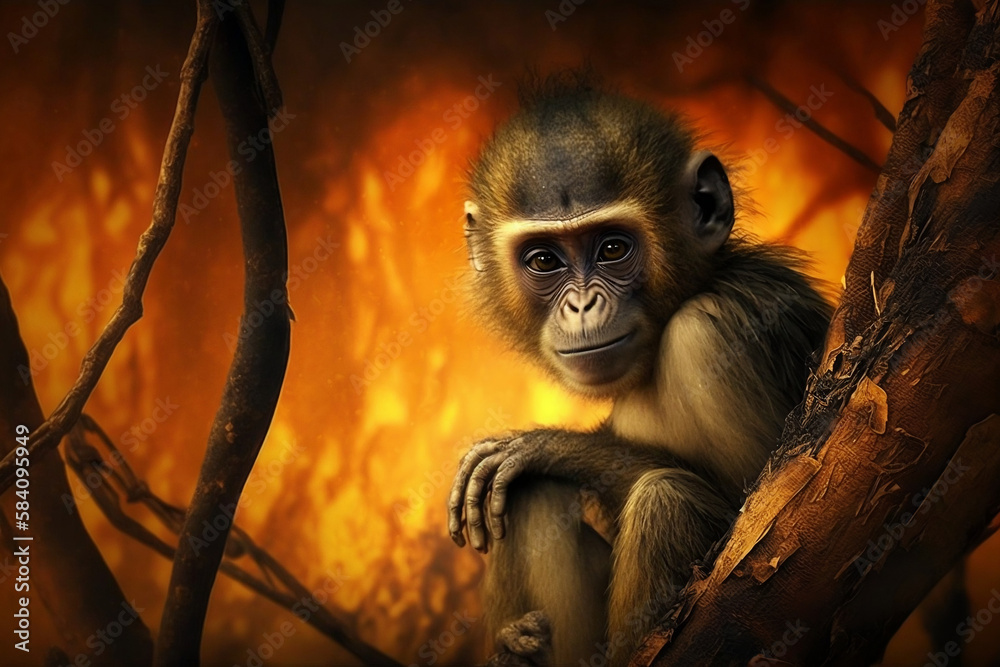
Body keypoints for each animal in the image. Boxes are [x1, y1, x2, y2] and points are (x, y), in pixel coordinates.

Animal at [446, 76, 832, 667]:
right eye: (544, 261)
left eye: (612, 248)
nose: (582, 304)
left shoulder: (712, 334)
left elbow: (767, 519)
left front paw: (545, 446)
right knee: (530, 497)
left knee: (664, 500)